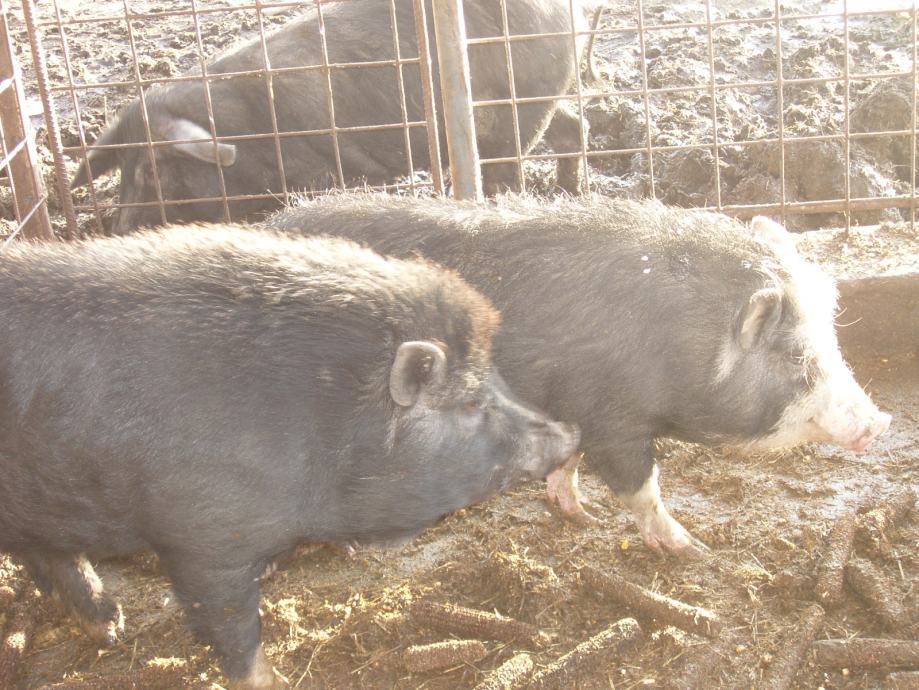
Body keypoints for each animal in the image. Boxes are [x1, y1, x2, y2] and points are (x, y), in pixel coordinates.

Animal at [0, 226, 579, 689]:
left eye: (496, 374)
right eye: (470, 402)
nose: (570, 433)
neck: (326, 414)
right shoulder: (205, 536)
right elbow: (232, 626)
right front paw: (273, 680)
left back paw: (108, 626)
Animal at [70, 0, 594, 234]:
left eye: (152, 170)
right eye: (122, 171)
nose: (118, 231)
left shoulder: (320, 171)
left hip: (522, 108)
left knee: (514, 163)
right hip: (538, 102)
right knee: (575, 128)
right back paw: (568, 191)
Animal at [267, 193, 892, 558]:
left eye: (833, 336)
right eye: (796, 356)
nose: (879, 422)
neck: (680, 339)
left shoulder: (573, 407)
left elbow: (569, 461)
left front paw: (580, 516)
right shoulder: (614, 417)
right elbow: (641, 486)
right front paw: (695, 550)